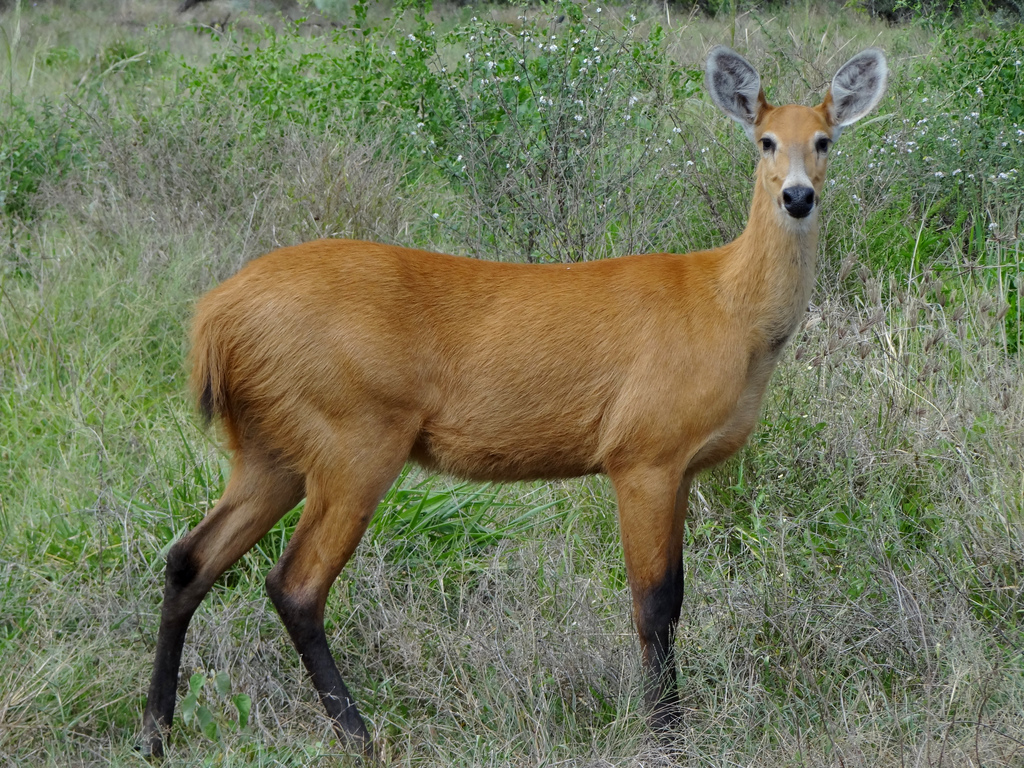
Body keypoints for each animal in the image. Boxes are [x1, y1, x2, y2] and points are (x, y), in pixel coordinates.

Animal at [141, 45, 887, 758]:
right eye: (765, 140)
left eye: (825, 139)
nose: (797, 197)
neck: (729, 309)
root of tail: (216, 316)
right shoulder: (642, 454)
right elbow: (653, 605)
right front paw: (667, 736)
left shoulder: (680, 468)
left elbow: (674, 600)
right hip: (354, 440)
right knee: (294, 584)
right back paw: (360, 737)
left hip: (270, 450)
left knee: (189, 559)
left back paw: (156, 733)